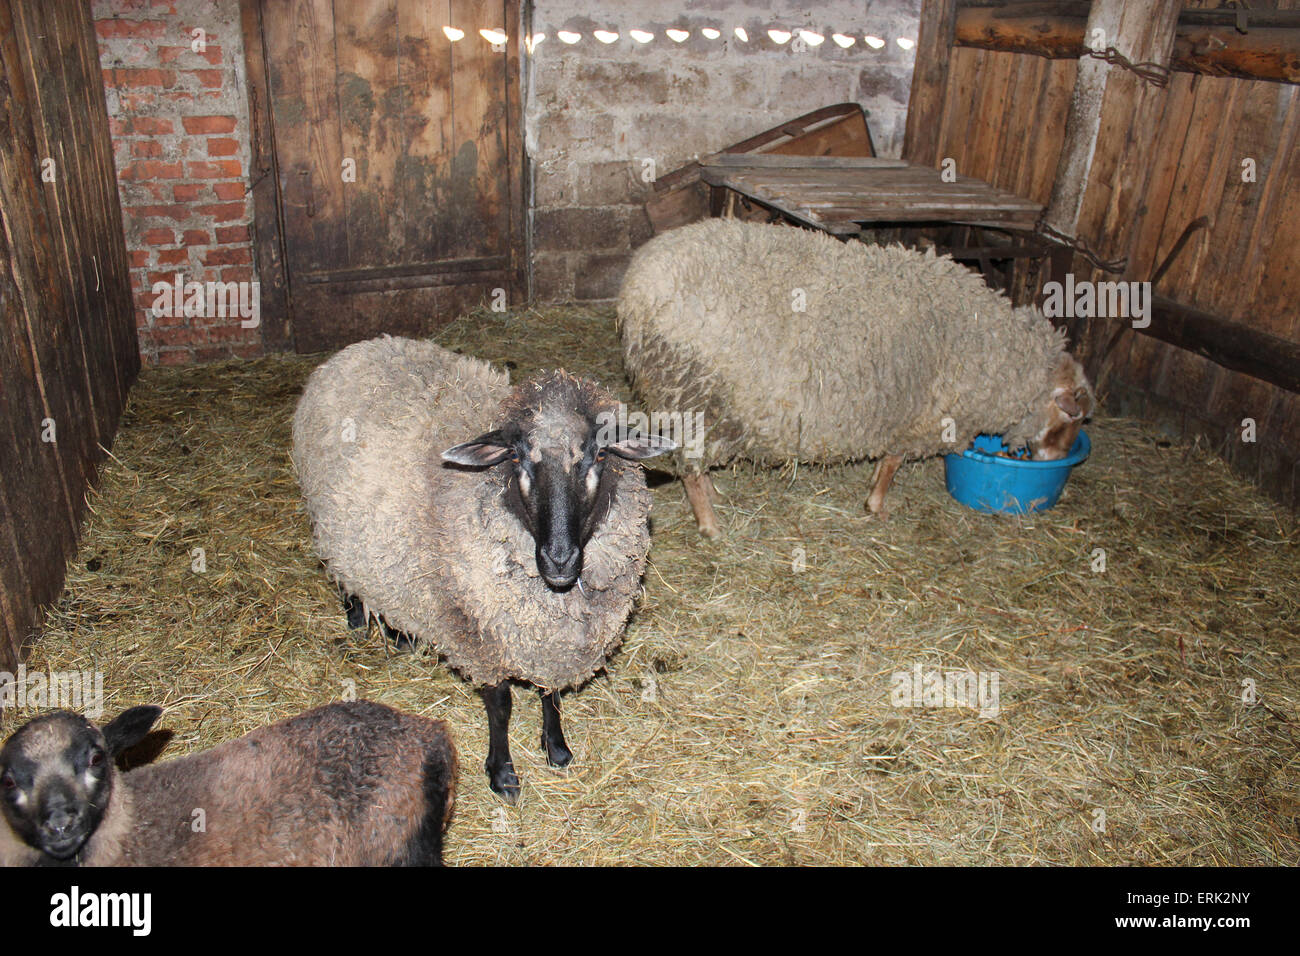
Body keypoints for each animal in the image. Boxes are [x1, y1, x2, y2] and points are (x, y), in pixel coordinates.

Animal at [291, 336, 673, 802]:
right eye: (516, 457)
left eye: (600, 453)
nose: (558, 558)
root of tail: (358, 348)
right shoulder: (477, 628)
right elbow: (501, 706)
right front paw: (503, 772)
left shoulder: (550, 639)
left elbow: (551, 694)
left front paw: (556, 747)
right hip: (331, 522)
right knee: (342, 569)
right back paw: (355, 615)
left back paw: (401, 636)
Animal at [616, 218, 1094, 535]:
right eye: (1071, 416)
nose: (1055, 461)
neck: (996, 355)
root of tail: (636, 291)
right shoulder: (919, 413)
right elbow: (894, 462)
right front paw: (878, 505)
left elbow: (889, 460)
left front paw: (874, 497)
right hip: (693, 388)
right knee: (690, 464)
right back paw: (711, 524)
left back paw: (715, 496)